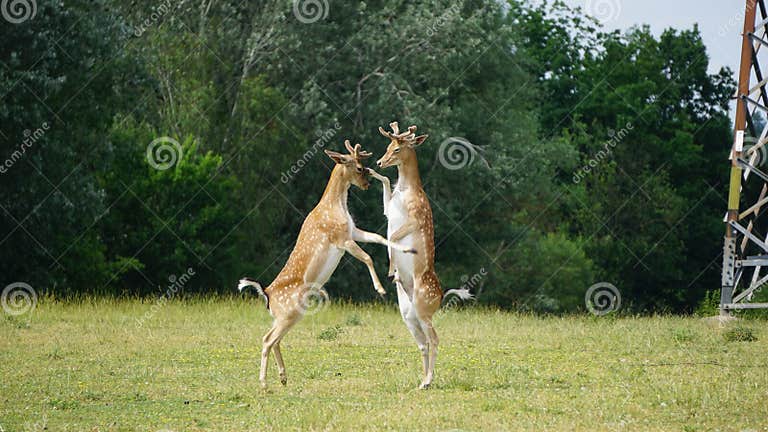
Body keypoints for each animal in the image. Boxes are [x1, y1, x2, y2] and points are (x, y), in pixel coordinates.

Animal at [237, 140, 416, 389]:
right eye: (359, 167)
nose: (366, 184)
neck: (336, 206)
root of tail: (266, 294)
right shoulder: (341, 238)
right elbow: (367, 257)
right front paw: (380, 289)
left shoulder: (353, 231)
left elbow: (379, 238)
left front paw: (406, 251)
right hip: (288, 312)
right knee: (267, 339)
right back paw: (264, 383)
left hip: (288, 315)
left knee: (273, 339)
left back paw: (283, 377)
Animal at [368, 121, 473, 389]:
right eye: (388, 146)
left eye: (397, 149)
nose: (380, 161)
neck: (406, 191)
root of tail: (441, 297)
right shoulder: (388, 209)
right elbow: (387, 185)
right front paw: (373, 173)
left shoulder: (416, 217)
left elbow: (393, 237)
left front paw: (391, 268)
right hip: (409, 315)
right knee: (423, 343)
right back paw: (422, 380)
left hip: (424, 309)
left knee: (435, 339)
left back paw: (427, 381)